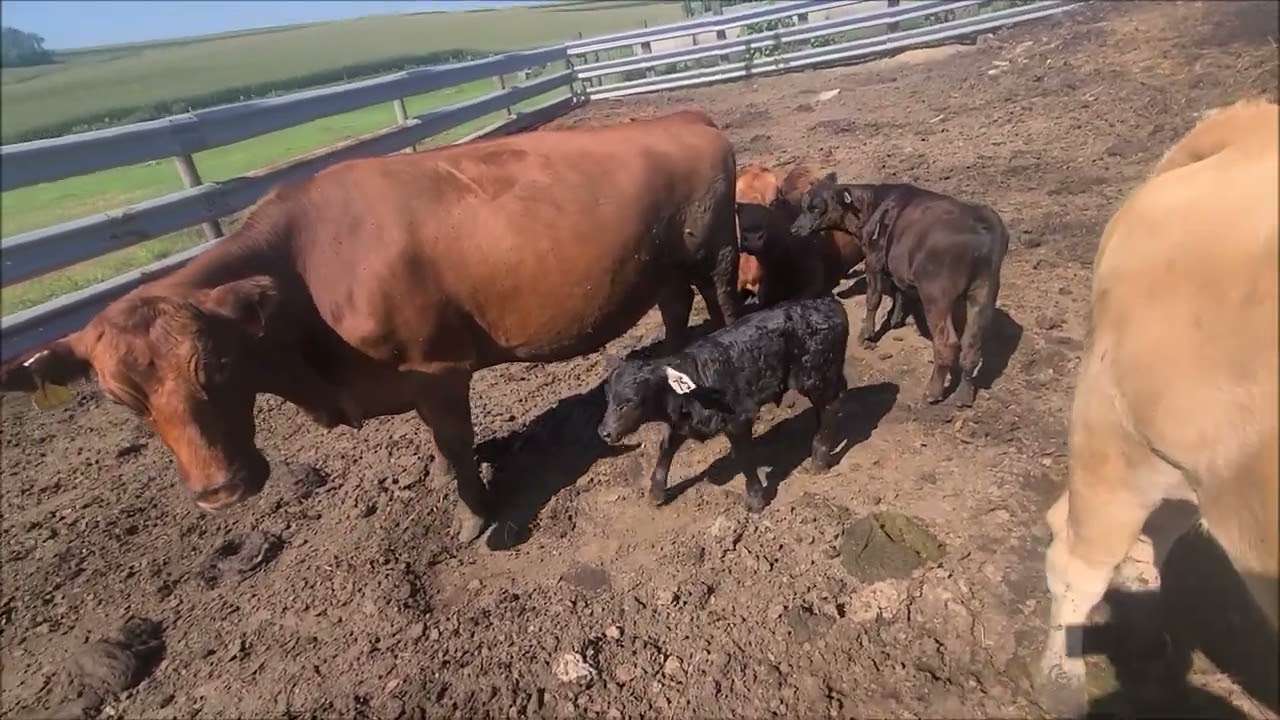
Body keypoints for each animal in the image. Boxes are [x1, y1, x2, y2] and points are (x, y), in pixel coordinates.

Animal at [0, 109, 744, 545]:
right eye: (121, 399)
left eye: (217, 366)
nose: (220, 492)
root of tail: (687, 115)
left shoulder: (437, 369)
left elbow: (452, 446)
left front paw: (471, 516)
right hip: (662, 265)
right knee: (674, 307)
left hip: (716, 252)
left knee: (724, 306)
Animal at [596, 295, 851, 514]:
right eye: (608, 399)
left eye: (628, 402)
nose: (604, 432)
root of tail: (830, 303)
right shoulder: (681, 423)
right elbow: (665, 448)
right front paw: (656, 493)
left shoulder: (739, 418)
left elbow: (744, 458)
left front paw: (756, 500)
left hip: (815, 374)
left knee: (833, 403)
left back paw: (819, 458)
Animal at [790, 176, 1009, 407]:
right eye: (804, 205)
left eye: (816, 208)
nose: (794, 229)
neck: (872, 206)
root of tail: (982, 223)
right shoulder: (897, 270)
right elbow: (899, 292)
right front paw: (895, 319)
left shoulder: (874, 261)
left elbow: (873, 299)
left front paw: (866, 335)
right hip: (983, 293)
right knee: (972, 345)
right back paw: (964, 395)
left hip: (936, 297)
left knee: (947, 343)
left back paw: (932, 392)